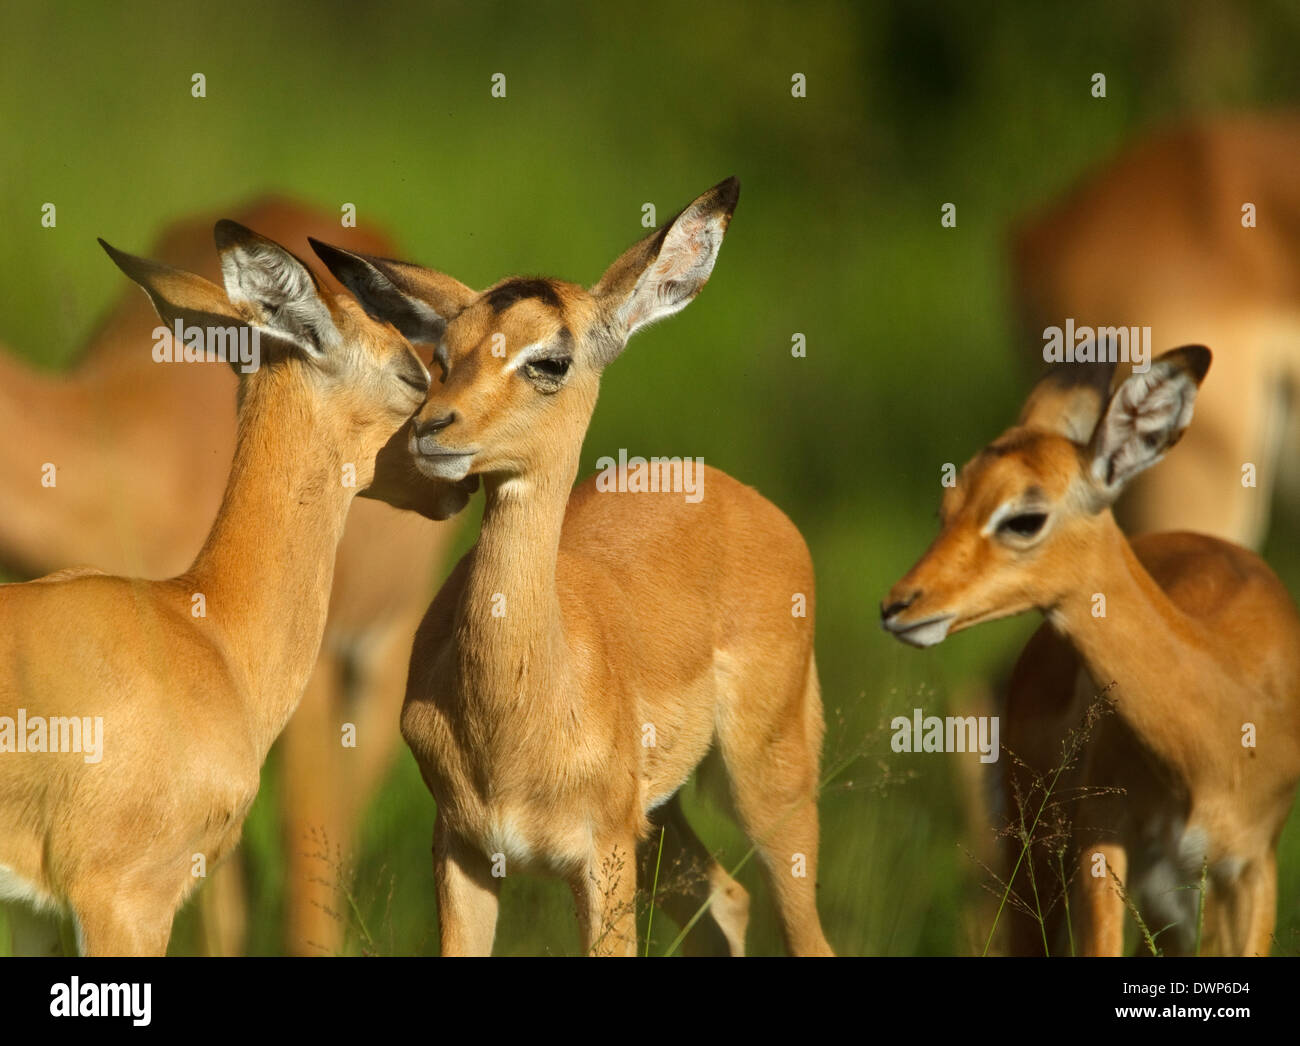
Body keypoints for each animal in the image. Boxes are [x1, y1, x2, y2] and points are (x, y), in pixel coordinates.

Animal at [311, 177, 834, 956]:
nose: (430, 428)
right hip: (665, 818)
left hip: (767, 784)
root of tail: (743, 498)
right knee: (727, 900)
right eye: (444, 354)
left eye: (549, 360)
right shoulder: (464, 852)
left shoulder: (602, 857)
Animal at [882, 347, 1300, 955]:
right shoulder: (1103, 841)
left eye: (1024, 517)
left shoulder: (1251, 868)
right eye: (948, 507)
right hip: (1038, 849)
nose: (898, 604)